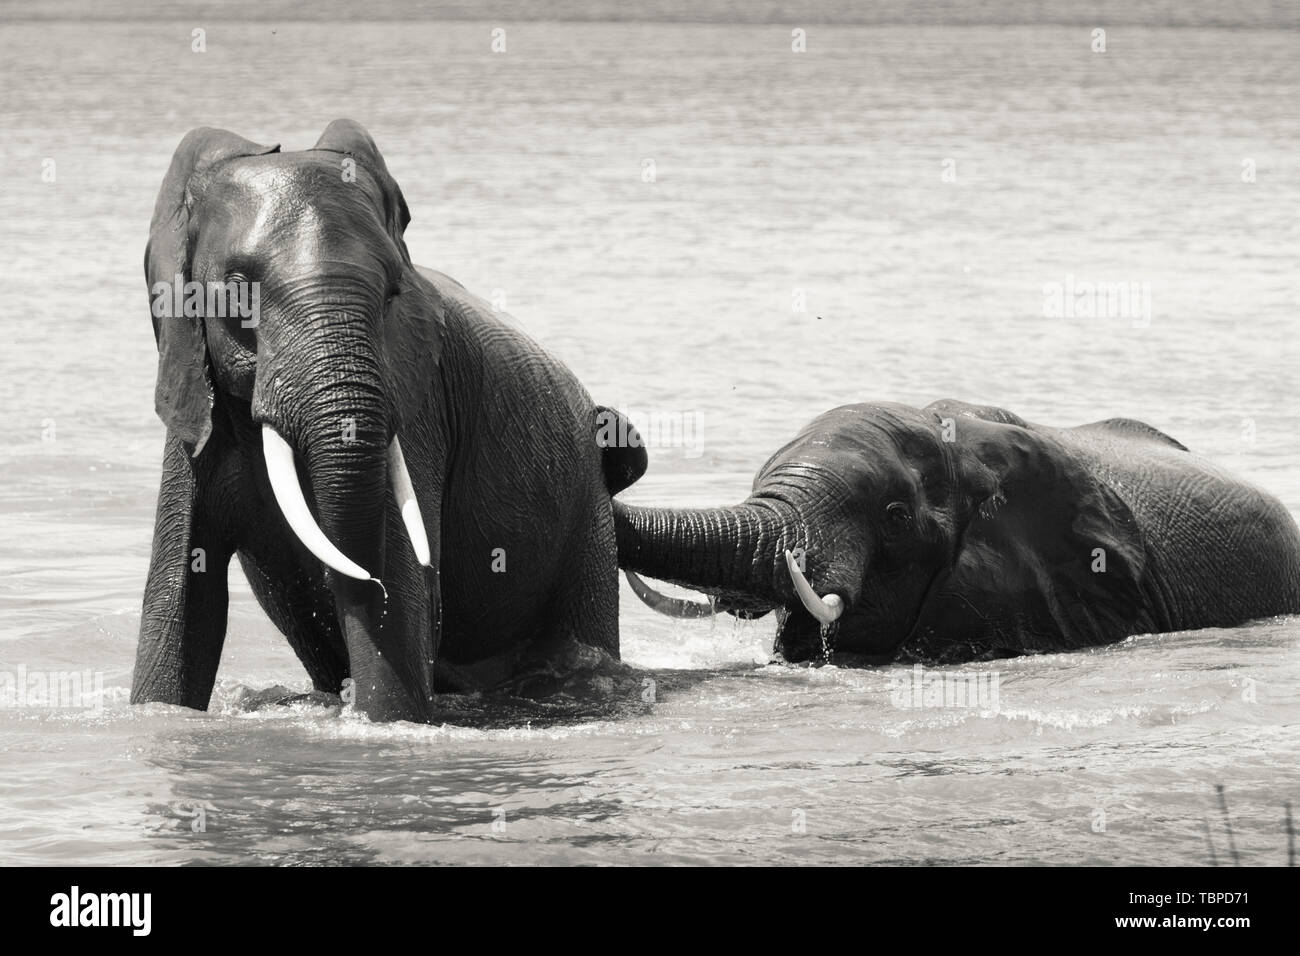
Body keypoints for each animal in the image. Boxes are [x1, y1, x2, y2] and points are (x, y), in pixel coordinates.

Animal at [132, 120, 647, 722]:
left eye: (393, 292)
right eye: (238, 293)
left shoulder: (416, 405)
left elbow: (395, 603)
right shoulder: (195, 400)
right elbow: (181, 607)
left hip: (588, 520)